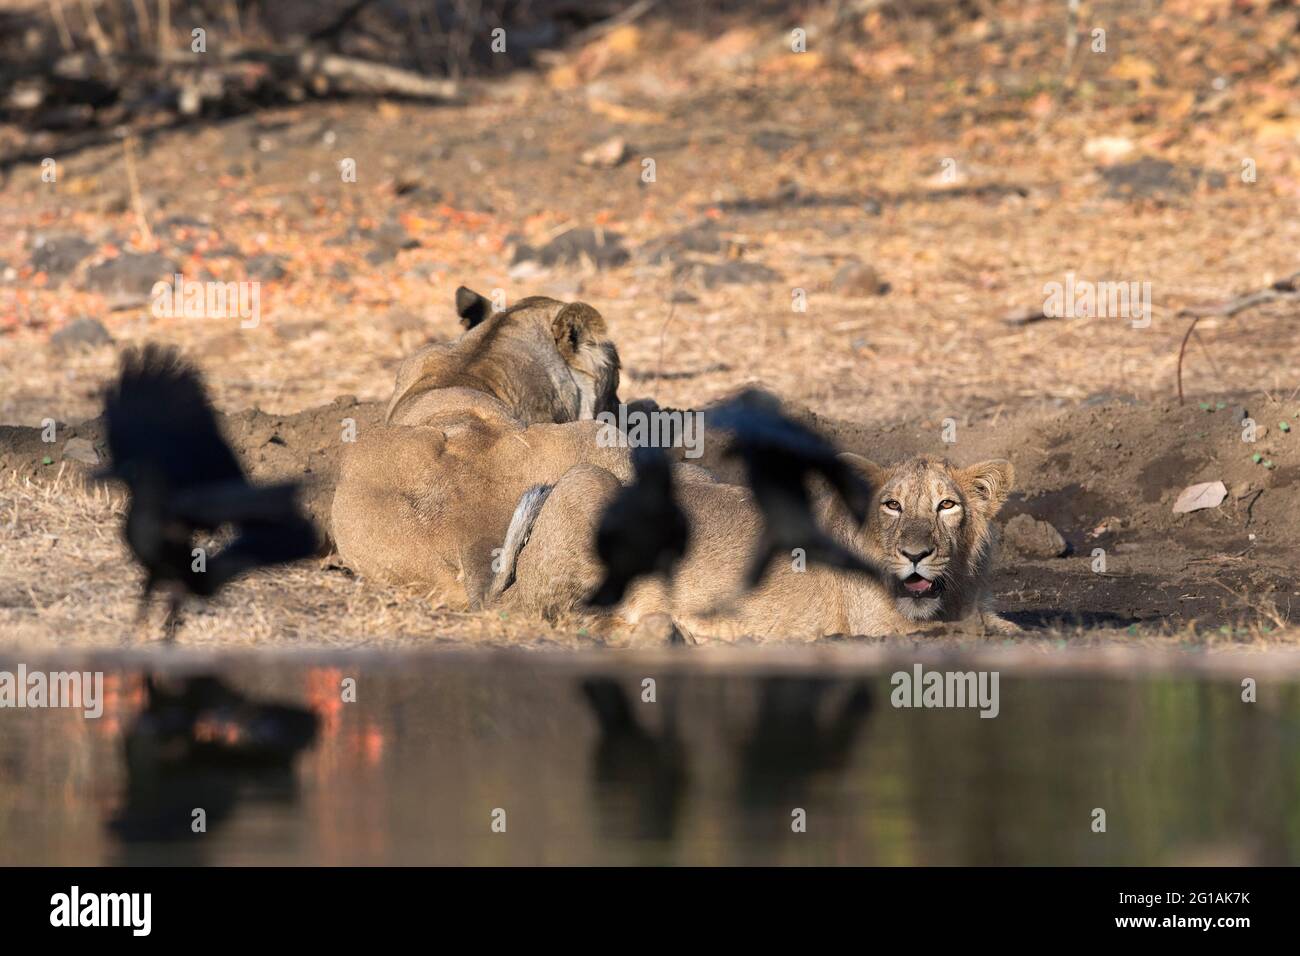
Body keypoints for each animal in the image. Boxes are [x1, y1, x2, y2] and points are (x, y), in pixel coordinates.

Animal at [488, 454, 1017, 641]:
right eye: (892, 505)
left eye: (947, 505)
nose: (915, 555)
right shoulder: (878, 626)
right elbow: (958, 630)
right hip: (590, 482)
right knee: (552, 612)